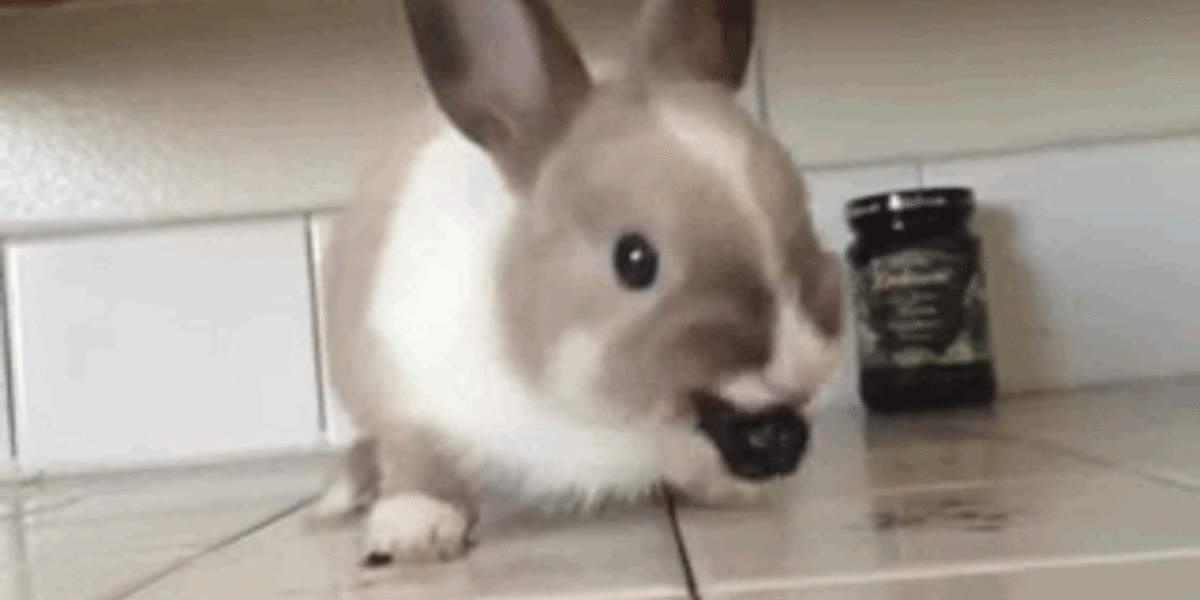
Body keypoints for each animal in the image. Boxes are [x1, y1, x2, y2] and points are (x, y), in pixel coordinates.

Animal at [312, 0, 844, 565]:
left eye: (803, 214)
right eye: (634, 259)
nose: (800, 361)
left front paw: (731, 490)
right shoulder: (404, 392)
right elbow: (418, 463)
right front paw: (416, 530)